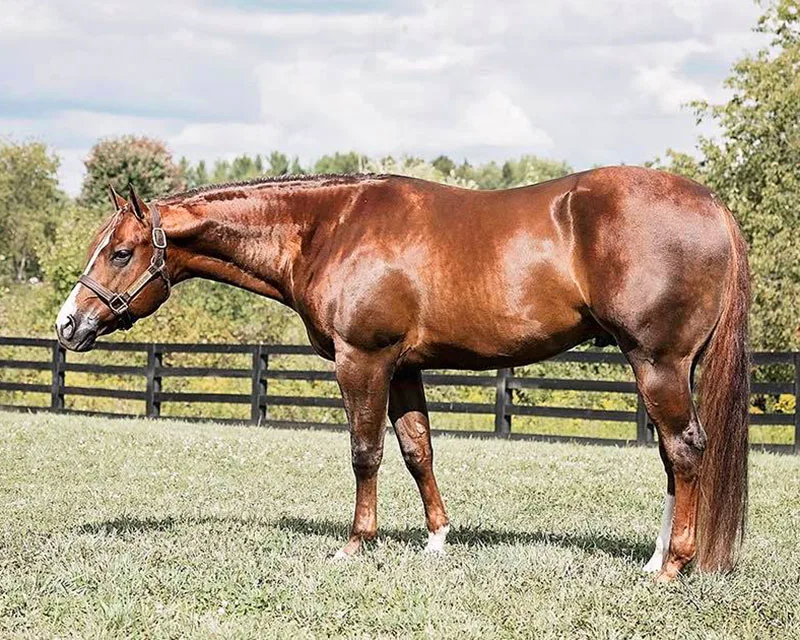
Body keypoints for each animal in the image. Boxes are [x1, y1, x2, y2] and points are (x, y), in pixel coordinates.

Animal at [55, 166, 750, 581]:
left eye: (121, 253)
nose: (68, 324)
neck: (330, 227)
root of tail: (711, 204)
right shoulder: (404, 367)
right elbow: (419, 450)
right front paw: (438, 539)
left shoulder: (363, 358)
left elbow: (365, 452)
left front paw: (355, 544)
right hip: (664, 368)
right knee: (672, 459)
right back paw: (656, 559)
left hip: (657, 364)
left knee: (686, 451)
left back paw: (674, 566)